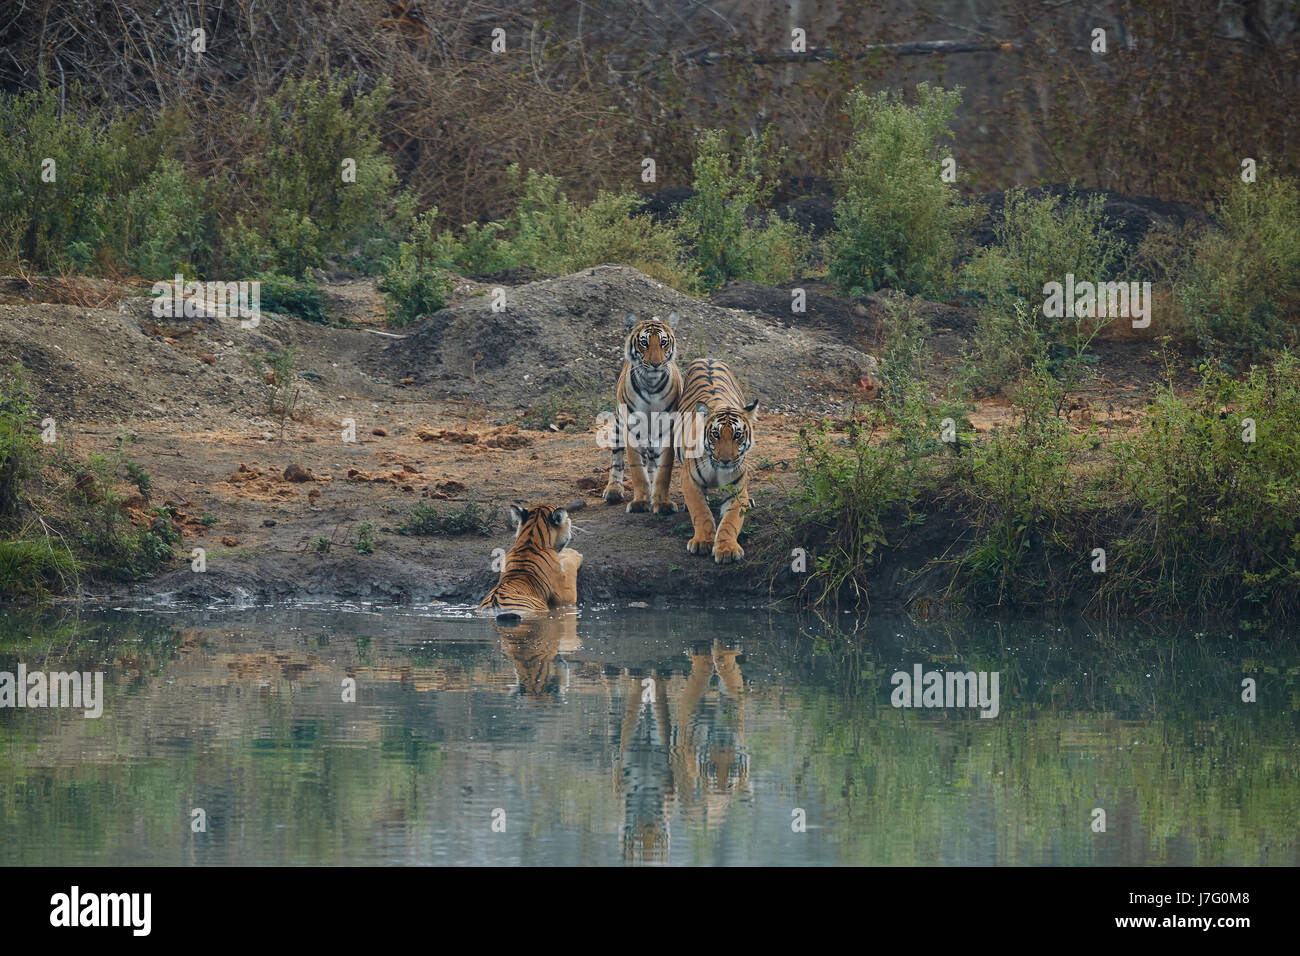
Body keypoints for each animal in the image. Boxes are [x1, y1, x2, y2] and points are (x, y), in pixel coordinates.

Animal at [603, 311, 683, 515]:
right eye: (644, 342)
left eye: (663, 342)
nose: (656, 364)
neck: (651, 384)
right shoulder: (631, 428)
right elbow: (637, 468)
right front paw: (640, 502)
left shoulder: (667, 430)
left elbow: (664, 469)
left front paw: (662, 502)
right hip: (618, 424)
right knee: (617, 457)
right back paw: (613, 490)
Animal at [673, 358, 758, 564]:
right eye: (715, 434)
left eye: (737, 435)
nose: (726, 460)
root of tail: (707, 358)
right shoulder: (689, 479)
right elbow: (700, 511)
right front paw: (702, 541)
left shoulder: (737, 489)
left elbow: (731, 521)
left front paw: (727, 549)